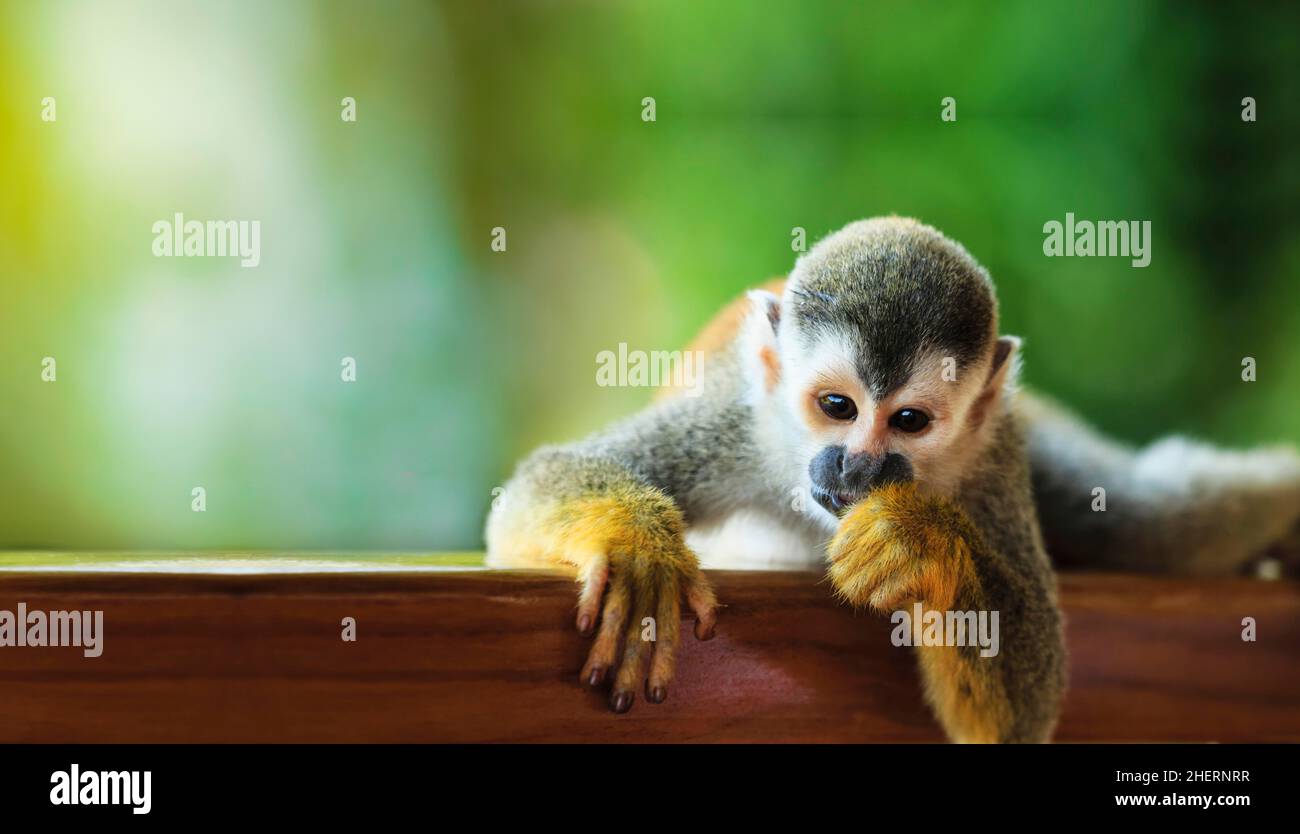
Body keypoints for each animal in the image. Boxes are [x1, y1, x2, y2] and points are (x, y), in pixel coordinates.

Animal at [484, 216, 1300, 742]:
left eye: (908, 421)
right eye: (837, 408)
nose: (857, 465)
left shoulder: (992, 453)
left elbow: (1021, 714)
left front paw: (921, 545)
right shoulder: (735, 424)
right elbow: (539, 481)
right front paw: (638, 554)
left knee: (1153, 520)